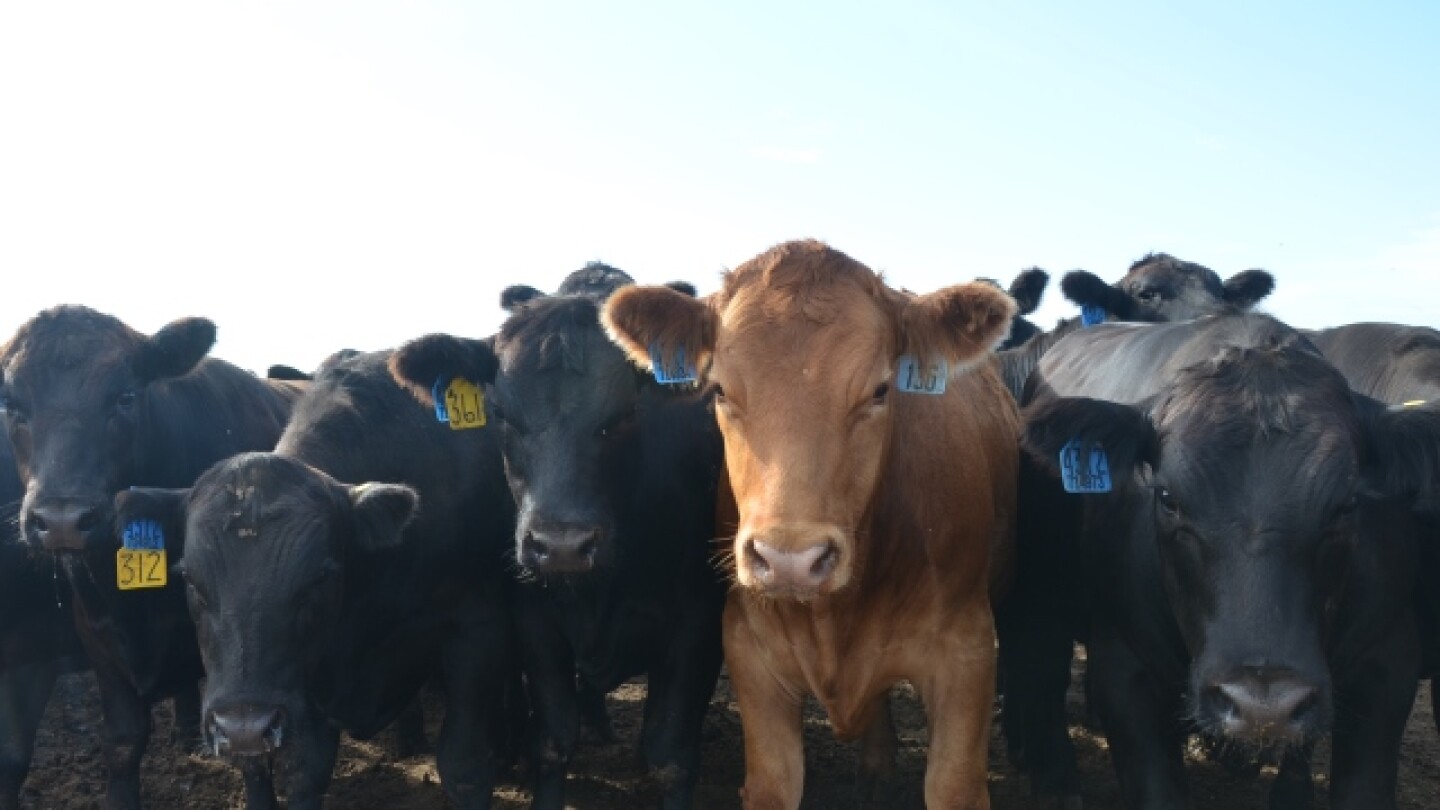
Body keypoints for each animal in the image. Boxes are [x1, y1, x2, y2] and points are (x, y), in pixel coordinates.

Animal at [0, 306, 304, 808]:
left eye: (125, 396)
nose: (62, 519)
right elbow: (121, 743)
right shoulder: (94, 643)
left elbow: (251, 750)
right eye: (11, 406)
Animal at [115, 348, 516, 809]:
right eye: (191, 580)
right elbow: (306, 770)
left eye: (318, 578)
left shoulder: (478, 628)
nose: (243, 729)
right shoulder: (304, 673)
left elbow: (463, 765)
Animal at [389, 263, 725, 810]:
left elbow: (671, 755)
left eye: (626, 413)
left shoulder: (697, 621)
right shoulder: (535, 621)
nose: (563, 546)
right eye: (502, 414)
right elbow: (553, 740)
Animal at [601, 239, 1020, 809]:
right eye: (720, 391)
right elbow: (773, 782)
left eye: (881, 390)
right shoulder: (749, 651)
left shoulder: (967, 650)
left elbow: (952, 784)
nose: (790, 561)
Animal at [1019, 314, 1440, 809]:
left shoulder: (1386, 664)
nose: (1264, 708)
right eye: (1167, 497)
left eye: (1347, 504)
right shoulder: (1123, 666)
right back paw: (1056, 781)